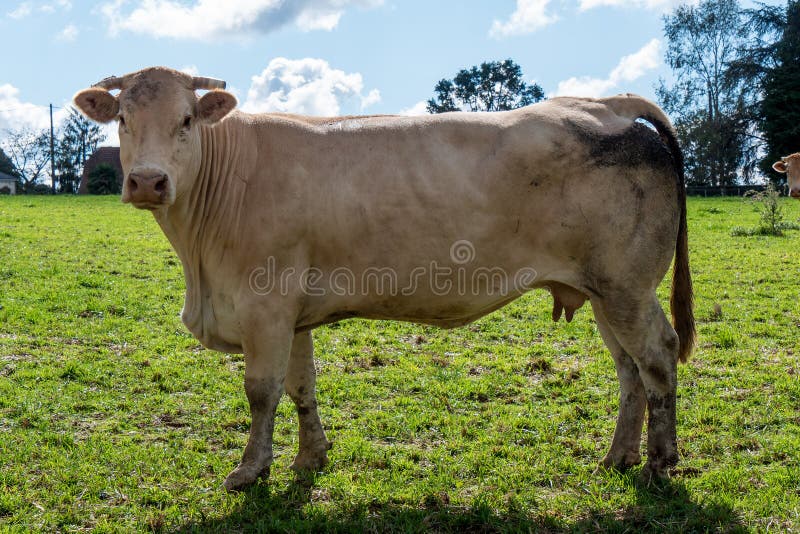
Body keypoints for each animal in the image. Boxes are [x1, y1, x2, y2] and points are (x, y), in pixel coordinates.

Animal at [73, 67, 695, 491]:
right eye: (123, 119)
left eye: (185, 120)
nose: (147, 181)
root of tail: (604, 102)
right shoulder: (293, 313)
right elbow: (301, 386)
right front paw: (310, 458)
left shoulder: (264, 307)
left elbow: (261, 392)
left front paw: (250, 471)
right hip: (603, 292)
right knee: (629, 370)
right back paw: (618, 456)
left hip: (627, 287)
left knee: (658, 357)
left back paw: (660, 462)